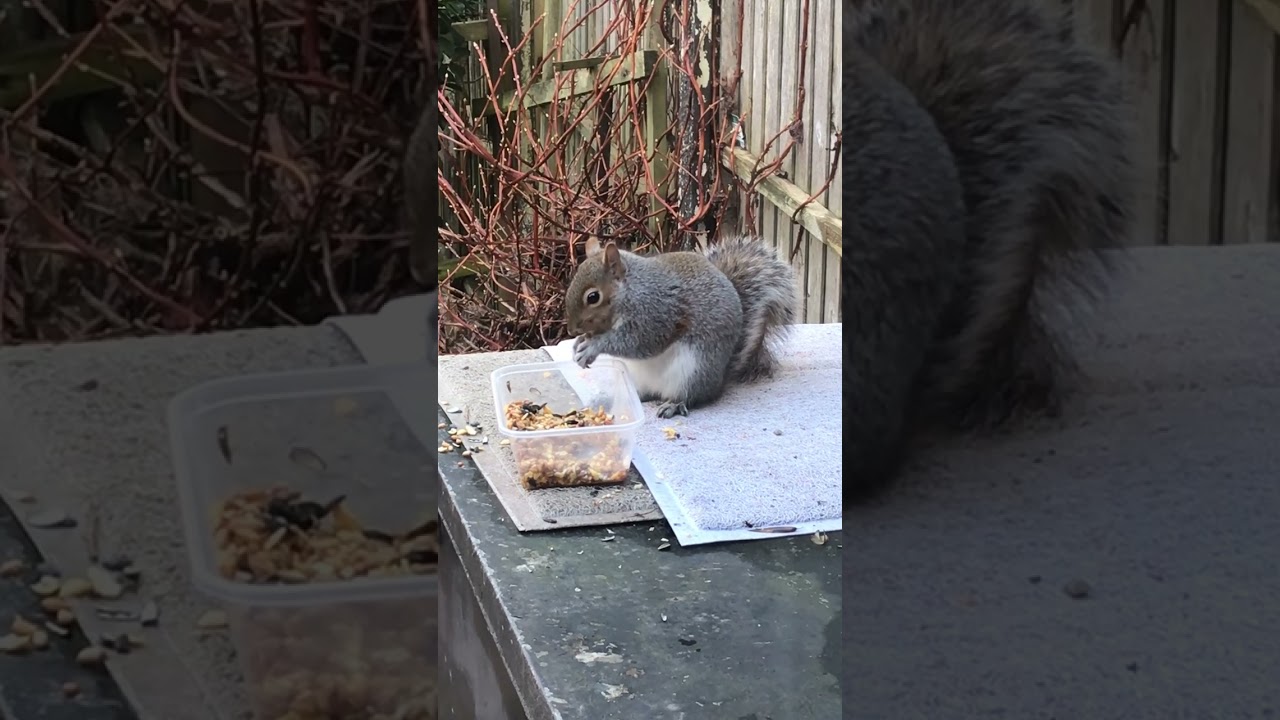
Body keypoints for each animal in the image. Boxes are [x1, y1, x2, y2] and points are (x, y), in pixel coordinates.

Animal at [565, 235, 800, 419]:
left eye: (593, 297)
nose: (571, 330)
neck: (630, 291)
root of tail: (721, 378)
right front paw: (578, 344)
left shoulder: (656, 313)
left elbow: (638, 342)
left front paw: (593, 347)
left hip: (694, 369)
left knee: (693, 396)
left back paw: (674, 404)